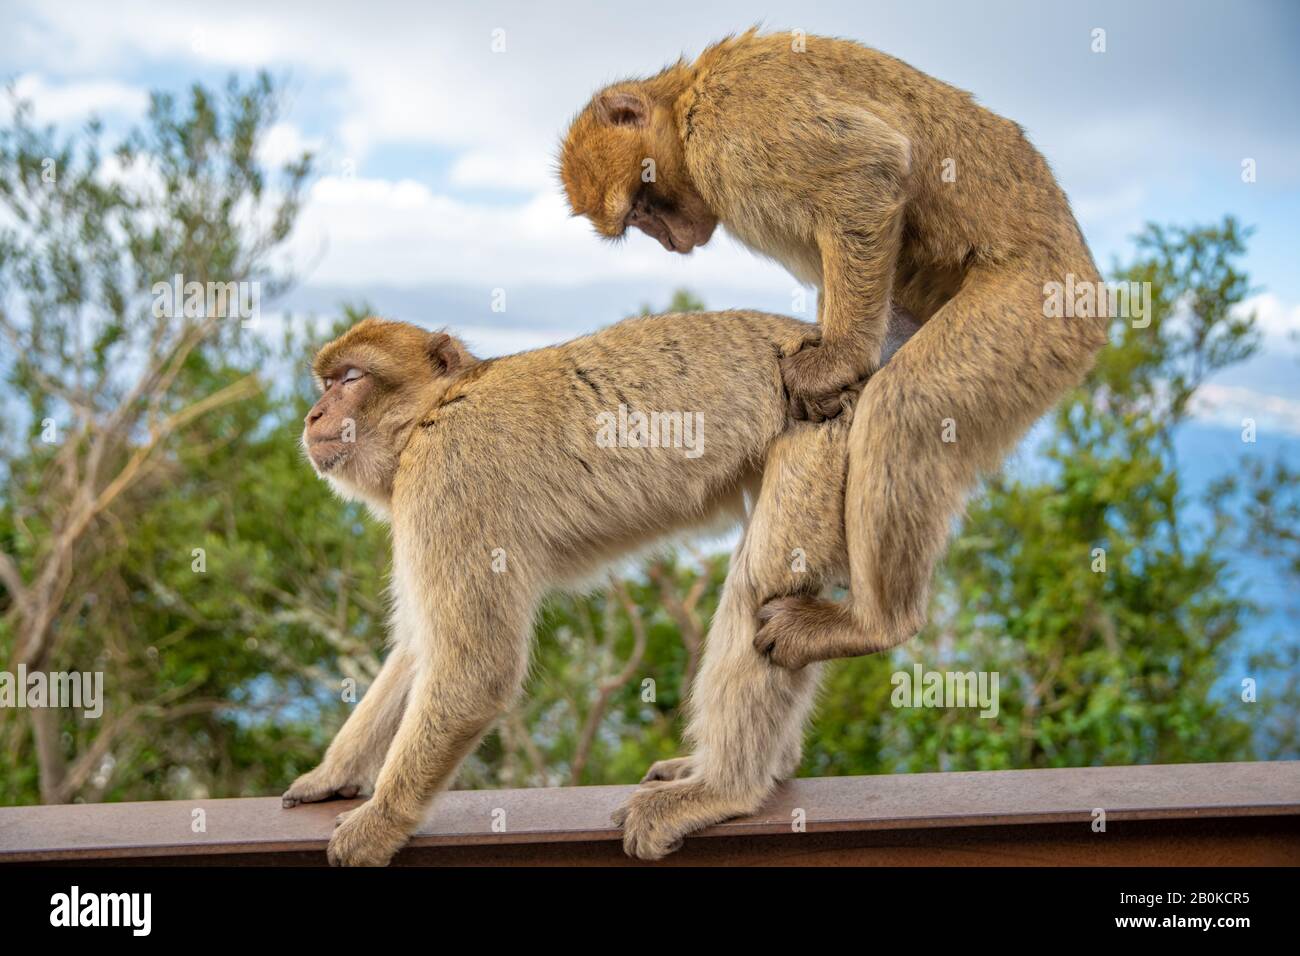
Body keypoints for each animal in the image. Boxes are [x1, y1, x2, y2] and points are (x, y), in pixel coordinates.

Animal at [281, 308, 917, 864]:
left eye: (351, 379)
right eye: (326, 382)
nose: (313, 415)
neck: (431, 412)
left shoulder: (448, 477)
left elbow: (474, 668)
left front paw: (381, 822)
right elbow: (419, 648)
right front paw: (333, 775)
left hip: (827, 428)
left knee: (760, 586)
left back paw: (723, 789)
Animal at [559, 29, 1109, 678]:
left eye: (645, 204)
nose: (671, 240)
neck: (688, 95)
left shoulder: (733, 121)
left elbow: (867, 176)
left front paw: (836, 362)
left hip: (1043, 310)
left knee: (904, 408)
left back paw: (874, 624)